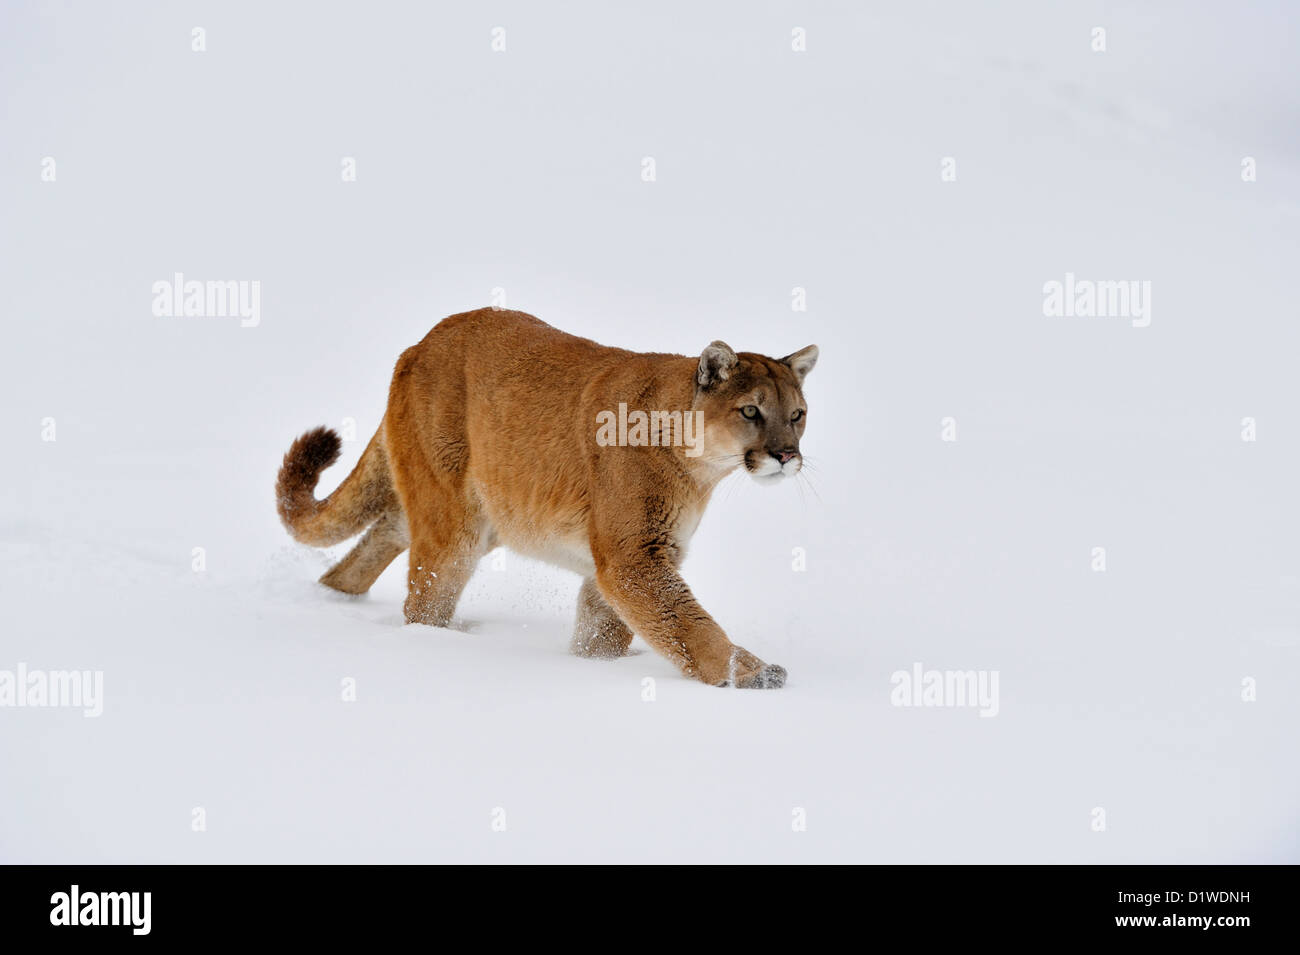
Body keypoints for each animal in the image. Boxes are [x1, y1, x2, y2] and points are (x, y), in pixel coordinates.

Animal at [276, 308, 817, 688]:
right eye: (750, 411)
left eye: (797, 414)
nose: (786, 455)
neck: (697, 464)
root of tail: (418, 344)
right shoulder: (633, 557)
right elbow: (687, 623)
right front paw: (749, 673)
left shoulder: (624, 559)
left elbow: (607, 628)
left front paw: (593, 666)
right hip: (455, 522)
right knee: (425, 593)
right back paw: (430, 640)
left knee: (383, 530)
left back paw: (334, 596)